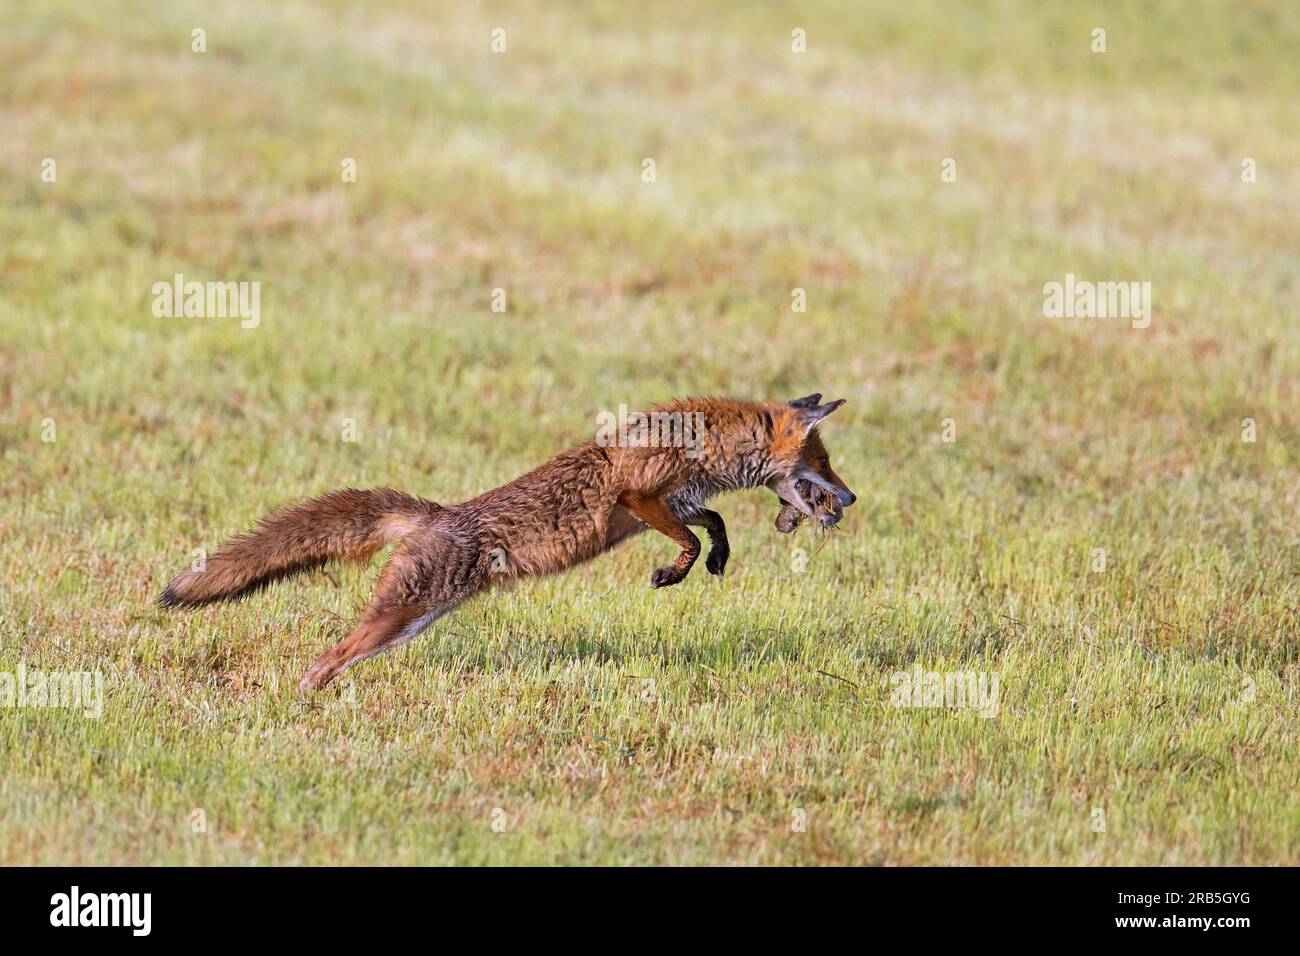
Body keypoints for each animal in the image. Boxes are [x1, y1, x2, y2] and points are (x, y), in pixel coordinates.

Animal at [158, 394, 856, 690]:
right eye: (823, 460)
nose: (849, 500)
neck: (710, 441)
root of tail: (441, 513)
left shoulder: (679, 501)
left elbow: (713, 522)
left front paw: (716, 559)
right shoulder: (639, 499)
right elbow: (687, 534)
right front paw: (675, 572)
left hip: (413, 620)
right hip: (402, 615)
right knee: (324, 660)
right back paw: (306, 698)